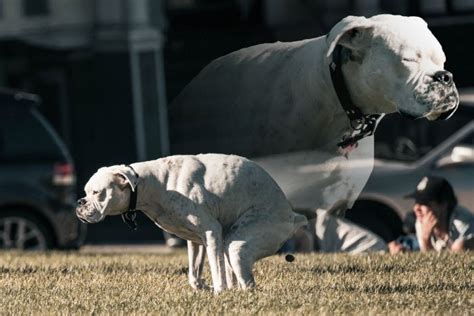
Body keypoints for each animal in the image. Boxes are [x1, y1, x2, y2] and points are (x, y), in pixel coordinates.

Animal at [77, 154, 308, 292]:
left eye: (97, 192)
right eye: (86, 192)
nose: (80, 203)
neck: (155, 183)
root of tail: (292, 216)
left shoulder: (211, 232)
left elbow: (216, 270)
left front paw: (219, 293)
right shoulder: (196, 241)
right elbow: (194, 273)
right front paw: (202, 288)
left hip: (238, 244)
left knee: (245, 279)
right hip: (230, 243)